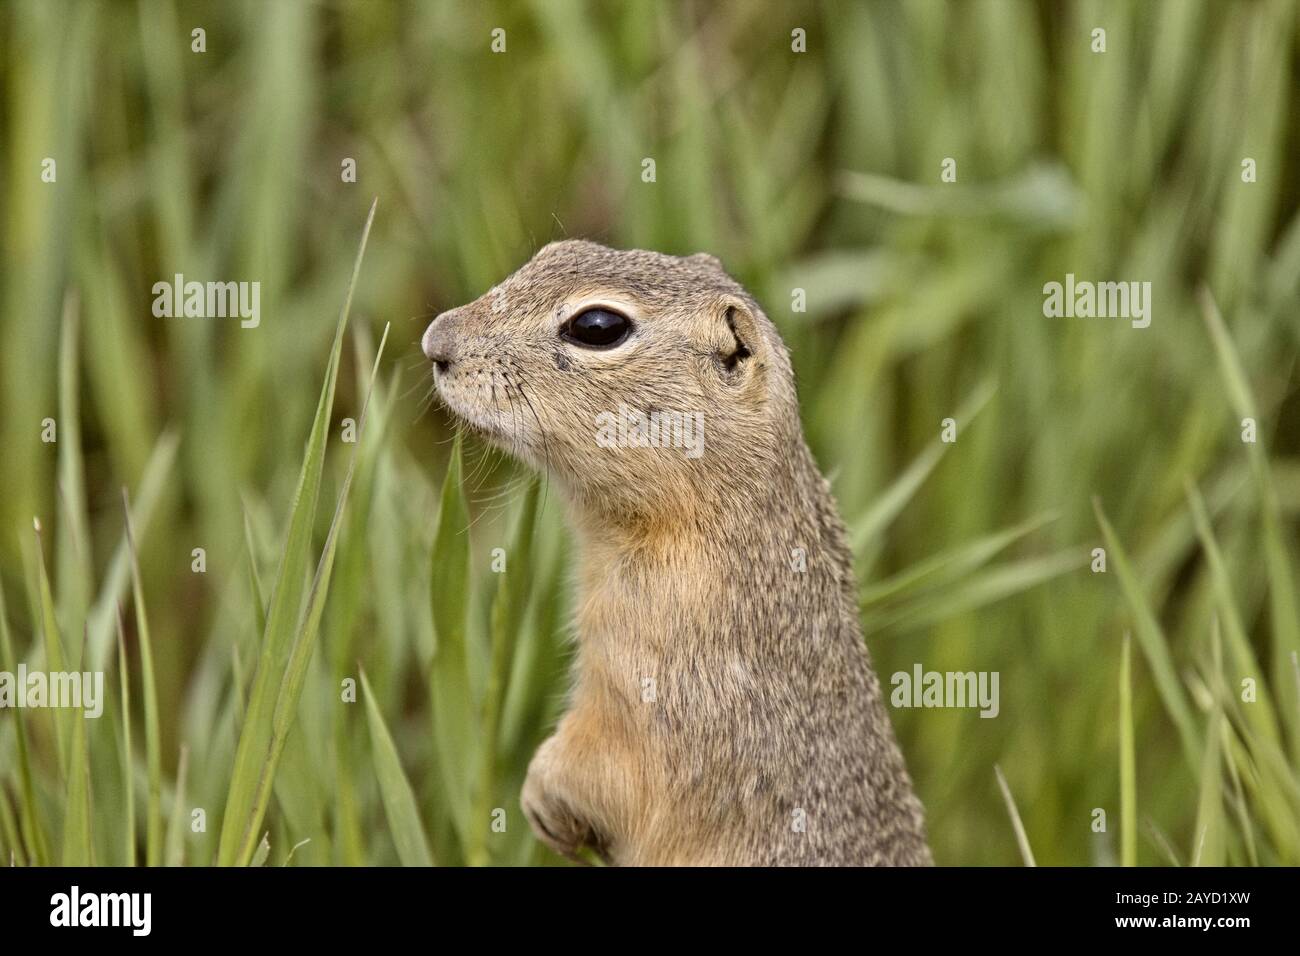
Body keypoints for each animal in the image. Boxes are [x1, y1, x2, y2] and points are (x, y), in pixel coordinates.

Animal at [422, 240, 932, 866]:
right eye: (555, 250)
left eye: (598, 326)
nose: (436, 340)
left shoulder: (648, 675)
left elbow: (608, 767)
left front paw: (540, 789)